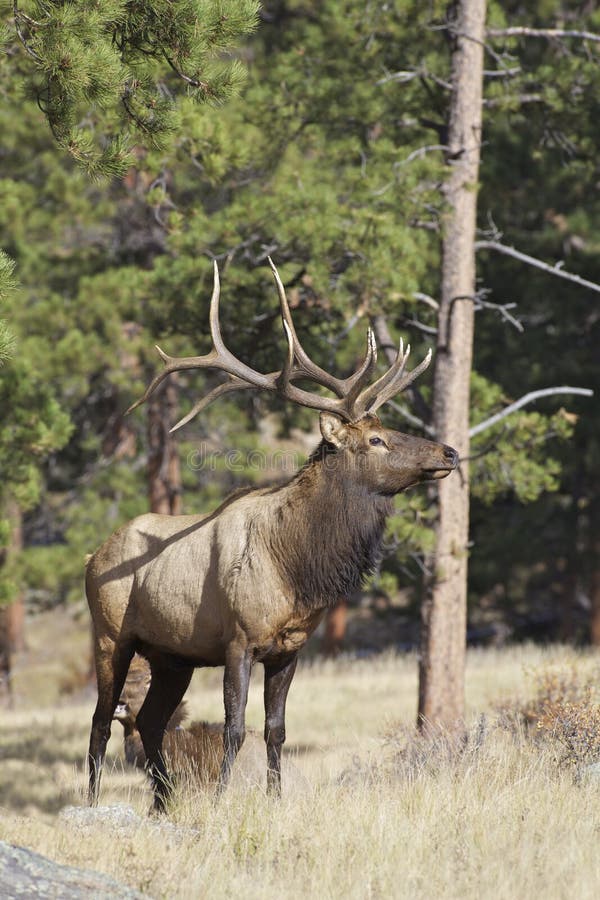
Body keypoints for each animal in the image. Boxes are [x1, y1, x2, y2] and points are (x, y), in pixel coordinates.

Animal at [86, 258, 458, 812]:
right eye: (376, 439)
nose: (449, 452)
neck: (299, 570)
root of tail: (91, 557)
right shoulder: (238, 640)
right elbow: (234, 728)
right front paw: (221, 799)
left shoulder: (290, 647)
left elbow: (276, 730)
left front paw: (275, 798)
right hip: (111, 635)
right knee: (99, 721)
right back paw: (92, 802)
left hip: (172, 655)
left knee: (150, 722)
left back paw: (165, 802)